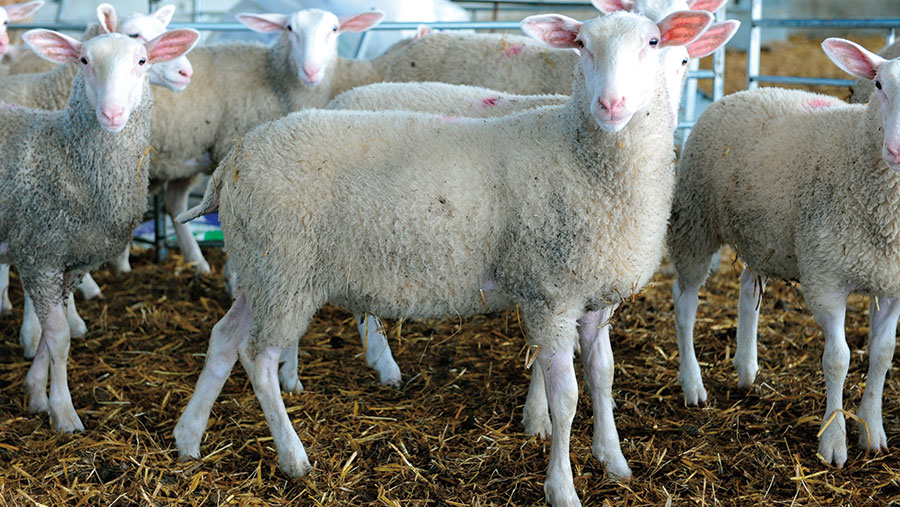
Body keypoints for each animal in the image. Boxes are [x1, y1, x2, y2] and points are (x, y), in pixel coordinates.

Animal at [4, 27, 198, 433]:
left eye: (142, 60)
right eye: (83, 60)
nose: (112, 113)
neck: (64, 152)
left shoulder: (71, 264)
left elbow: (53, 333)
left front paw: (35, 394)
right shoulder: (39, 255)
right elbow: (59, 338)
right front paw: (64, 414)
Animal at [173, 11, 713, 505]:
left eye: (655, 42)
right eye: (580, 44)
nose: (611, 104)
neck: (579, 152)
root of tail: (232, 161)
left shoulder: (596, 295)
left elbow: (602, 378)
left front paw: (614, 461)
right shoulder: (550, 292)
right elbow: (566, 397)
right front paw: (561, 486)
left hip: (265, 269)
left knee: (224, 339)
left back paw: (188, 437)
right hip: (286, 267)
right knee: (258, 357)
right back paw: (293, 456)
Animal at [667, 38, 900, 467]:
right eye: (878, 84)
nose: (895, 150)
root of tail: (746, 91)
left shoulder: (890, 283)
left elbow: (882, 354)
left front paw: (872, 430)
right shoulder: (824, 277)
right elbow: (838, 359)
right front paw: (834, 441)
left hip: (762, 236)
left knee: (746, 290)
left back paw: (746, 370)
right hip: (695, 221)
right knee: (685, 302)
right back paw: (692, 384)